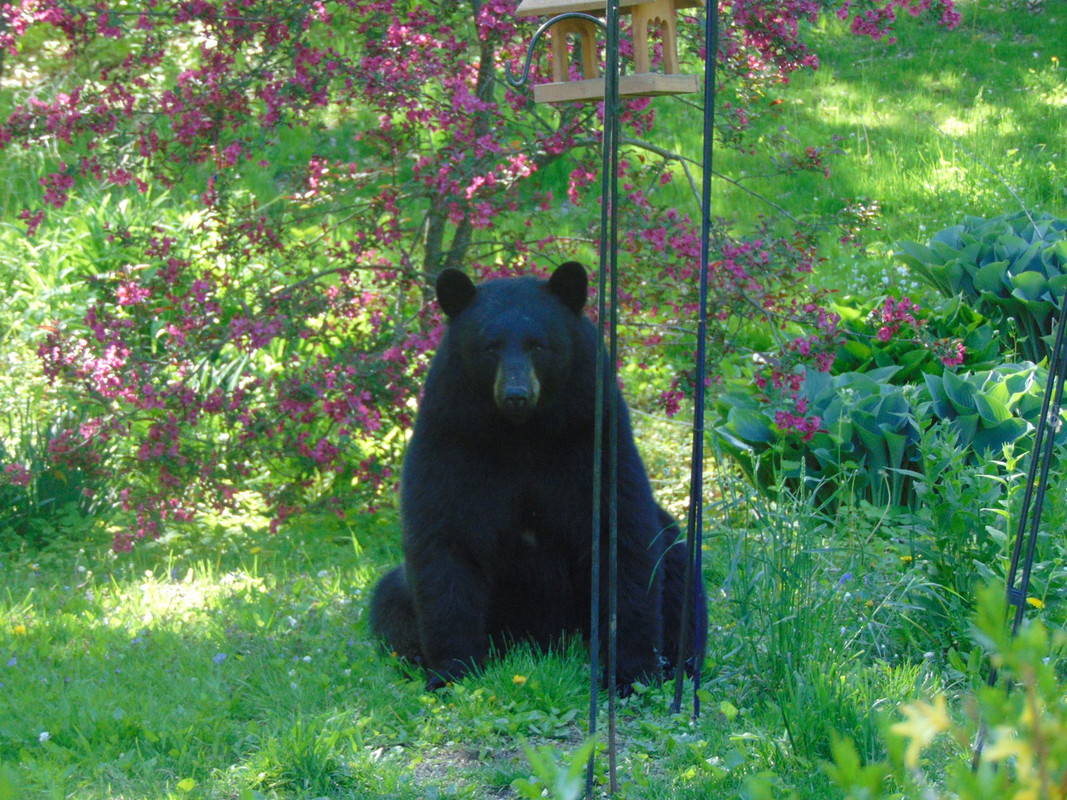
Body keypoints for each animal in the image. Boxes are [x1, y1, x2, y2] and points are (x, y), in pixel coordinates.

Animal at [369, 261, 707, 692]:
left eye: (539, 345)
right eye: (490, 346)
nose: (516, 394)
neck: (522, 433)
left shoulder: (593, 440)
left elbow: (623, 539)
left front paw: (629, 673)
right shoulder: (451, 441)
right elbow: (444, 544)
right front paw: (452, 672)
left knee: (679, 570)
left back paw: (680, 664)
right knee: (390, 597)